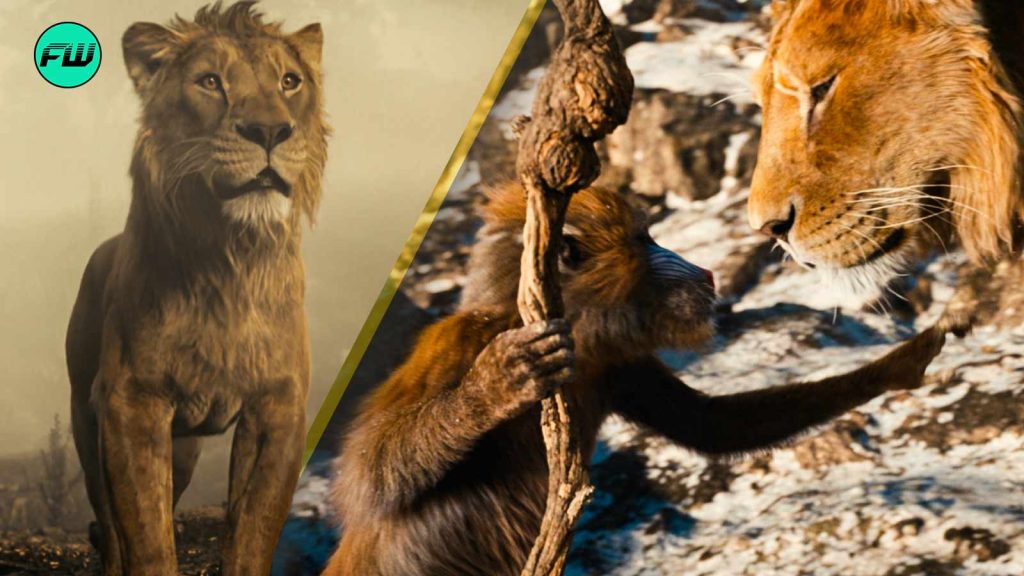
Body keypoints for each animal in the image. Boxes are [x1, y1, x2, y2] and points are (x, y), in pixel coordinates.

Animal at [65, 2, 328, 574]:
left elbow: (252, 532)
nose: (269, 129)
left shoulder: (278, 406)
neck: (231, 261)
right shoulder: (132, 403)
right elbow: (147, 536)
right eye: (210, 82)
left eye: (290, 81)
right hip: (86, 423)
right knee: (111, 528)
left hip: (183, 447)